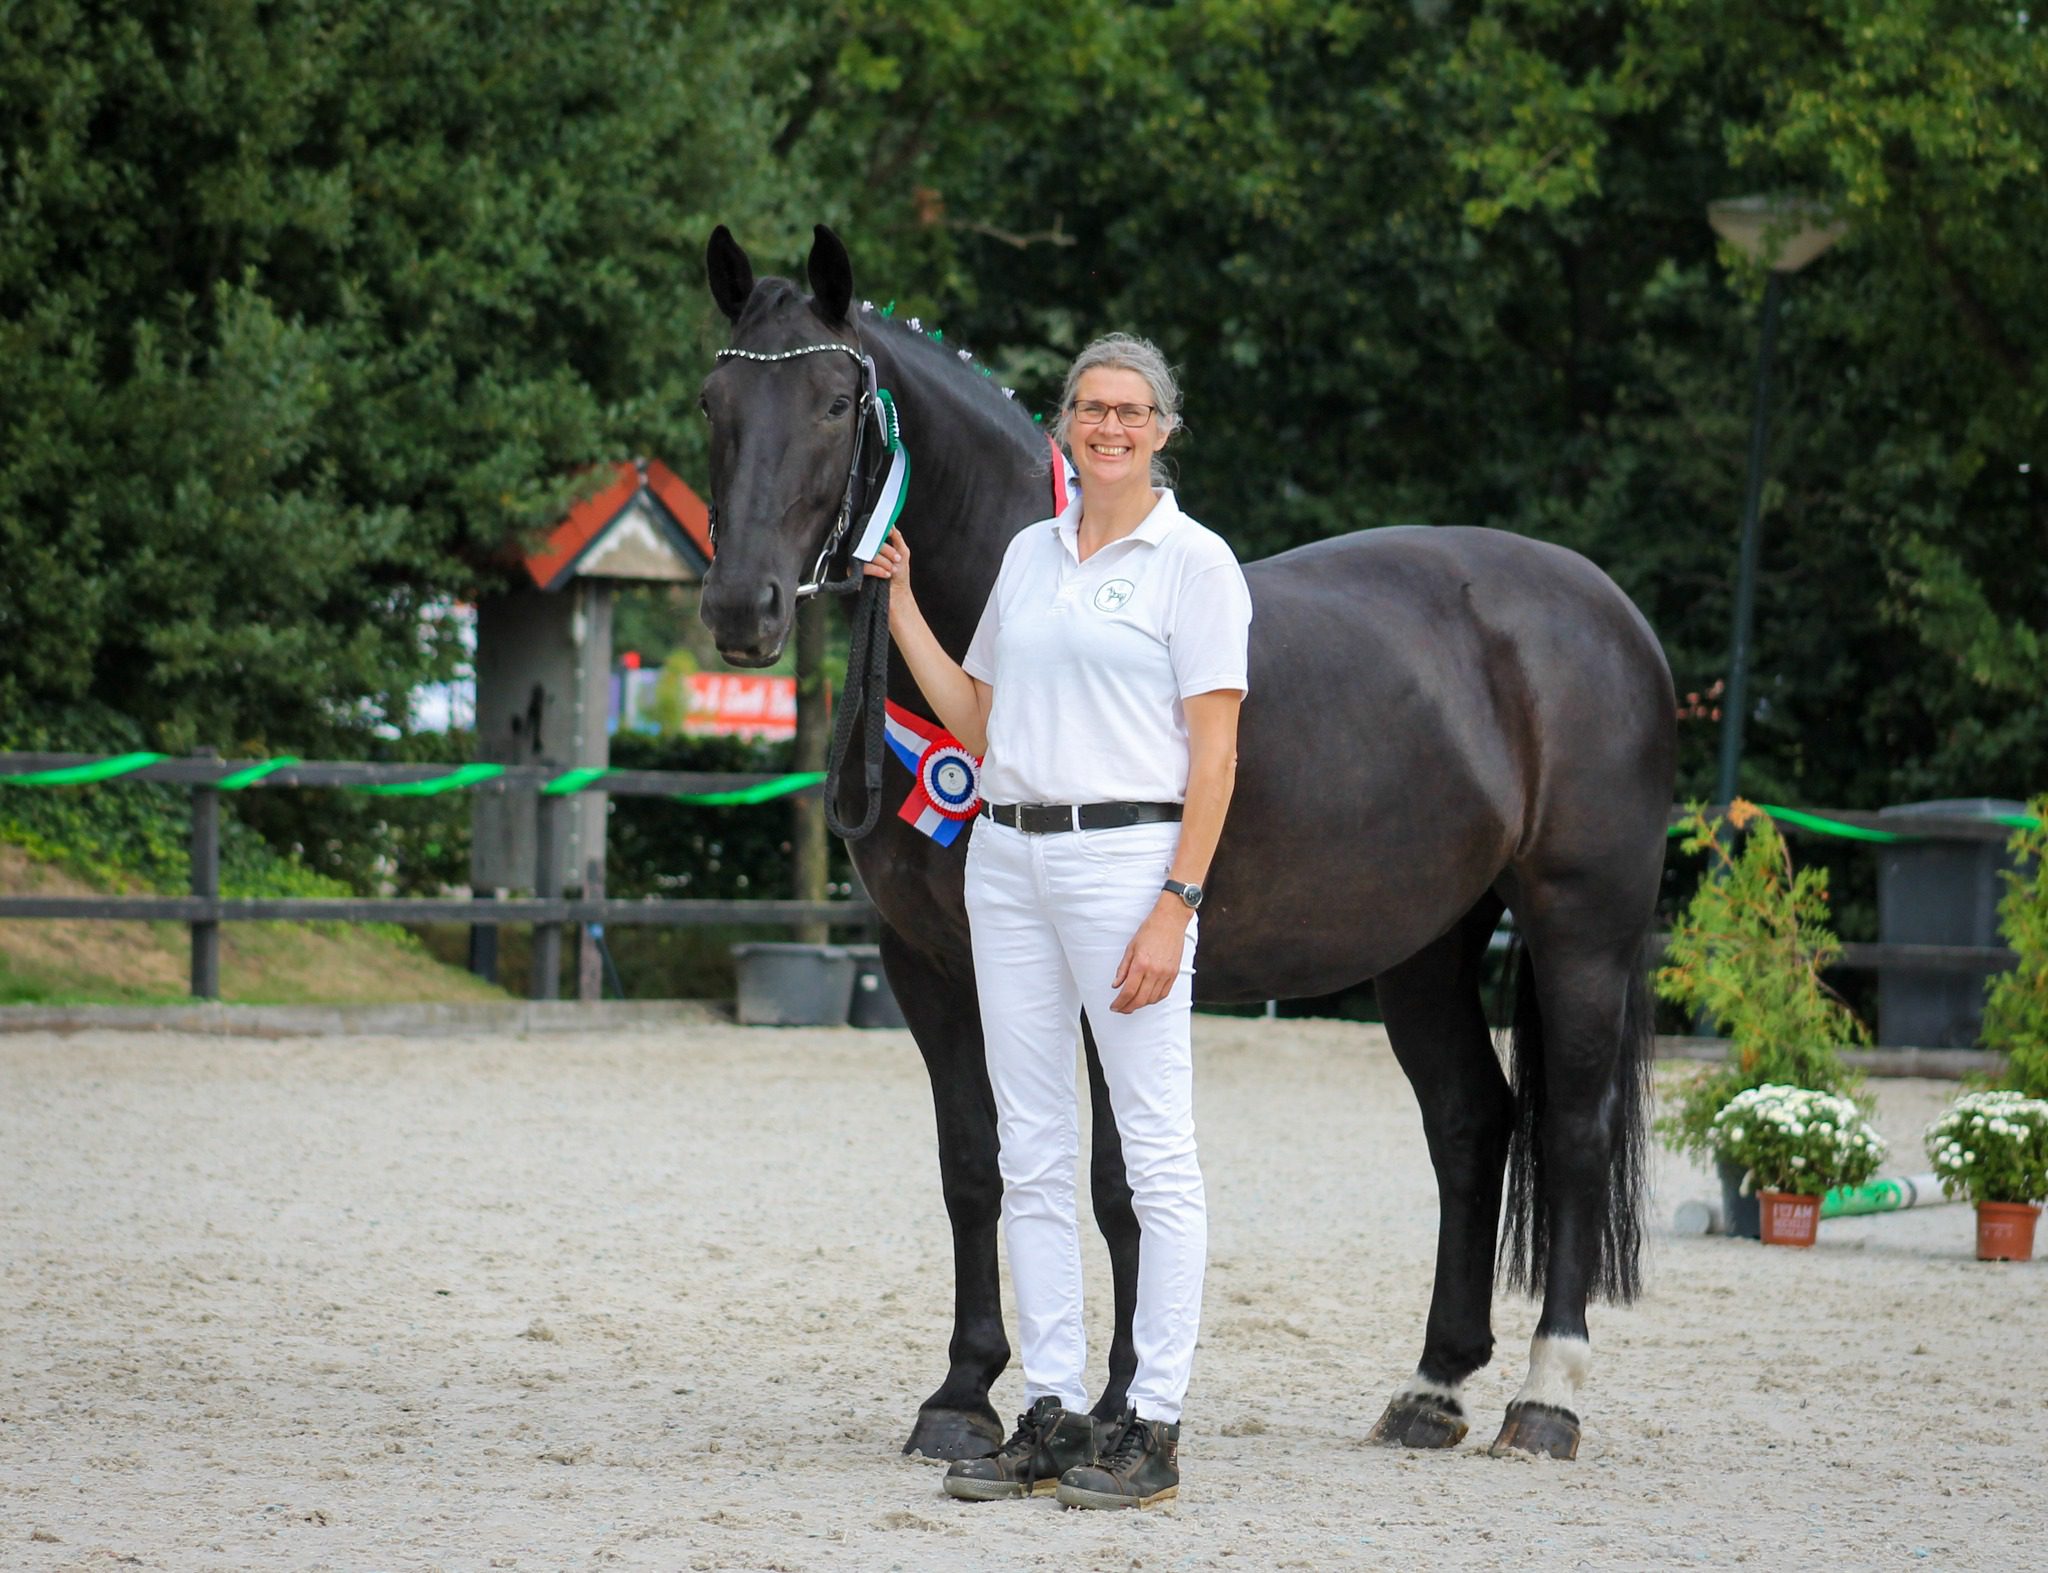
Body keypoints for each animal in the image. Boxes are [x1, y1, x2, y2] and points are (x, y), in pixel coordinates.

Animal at [696, 224, 1677, 1463]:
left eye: (833, 402)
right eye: (713, 398)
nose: (742, 608)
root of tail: (1609, 614)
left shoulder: (1107, 973)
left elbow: (1120, 1186)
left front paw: (1115, 1405)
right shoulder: (931, 965)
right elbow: (975, 1166)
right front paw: (962, 1394)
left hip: (1578, 925)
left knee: (1573, 1130)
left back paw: (1545, 1397)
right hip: (1423, 946)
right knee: (1469, 1122)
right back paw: (1431, 1387)